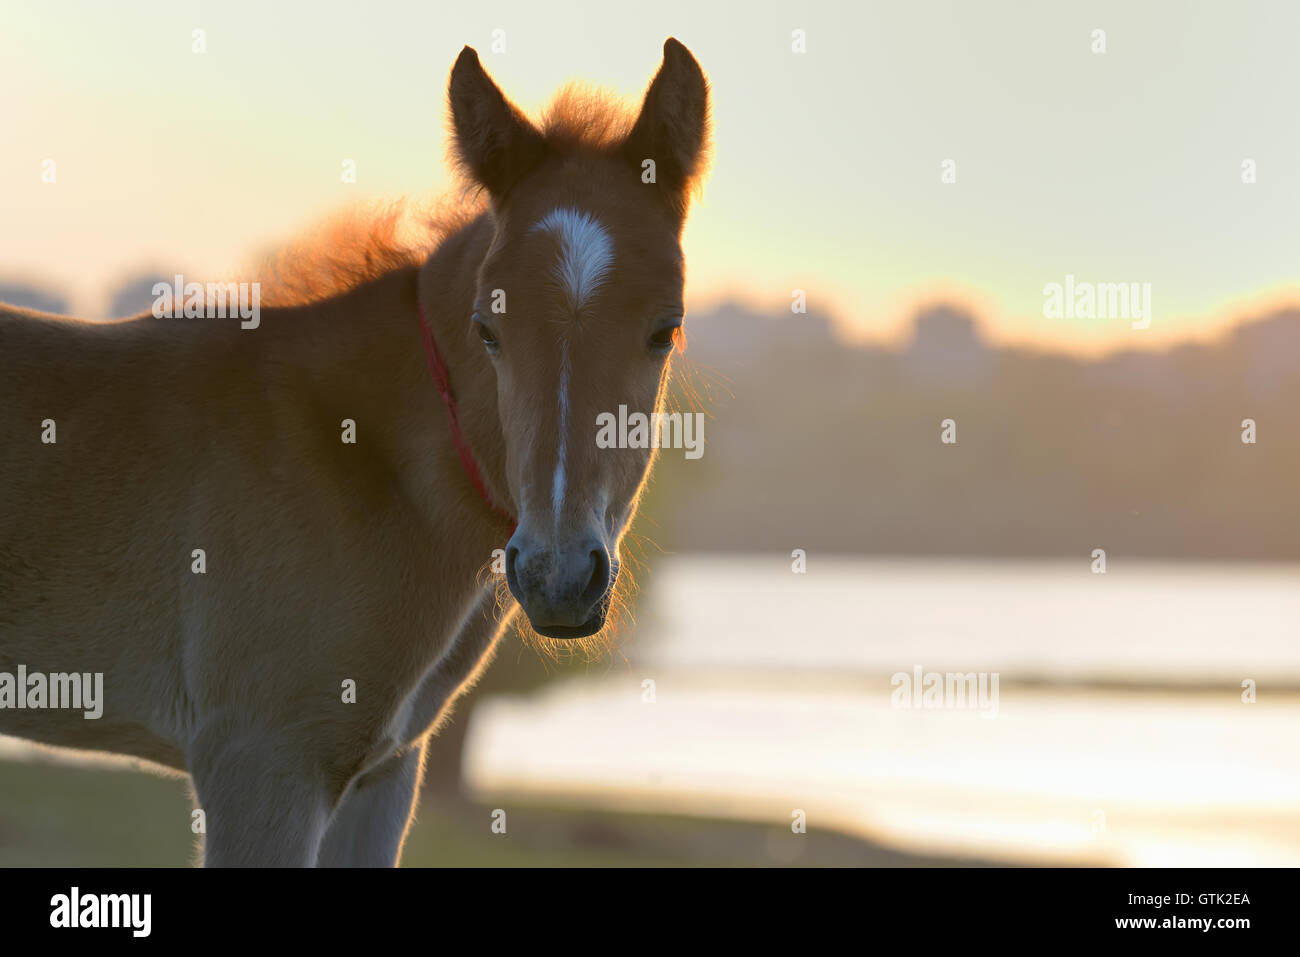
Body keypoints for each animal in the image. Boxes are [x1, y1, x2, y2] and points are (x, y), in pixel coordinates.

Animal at [0, 38, 710, 866]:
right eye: (487, 328)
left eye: (666, 327)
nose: (557, 577)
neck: (359, 458)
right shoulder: (261, 762)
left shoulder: (379, 776)